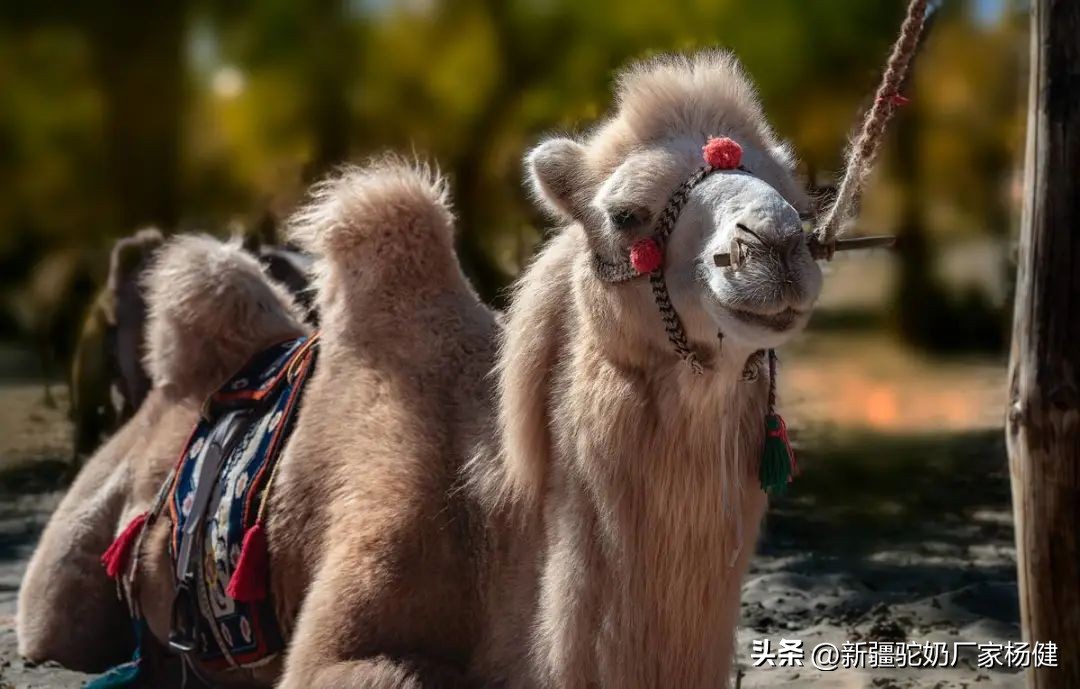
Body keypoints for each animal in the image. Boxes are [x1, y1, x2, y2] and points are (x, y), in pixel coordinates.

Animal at [19, 50, 823, 688]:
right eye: (626, 214)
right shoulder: (339, 634)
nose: (777, 245)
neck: (494, 521)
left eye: (796, 192)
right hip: (61, 587)